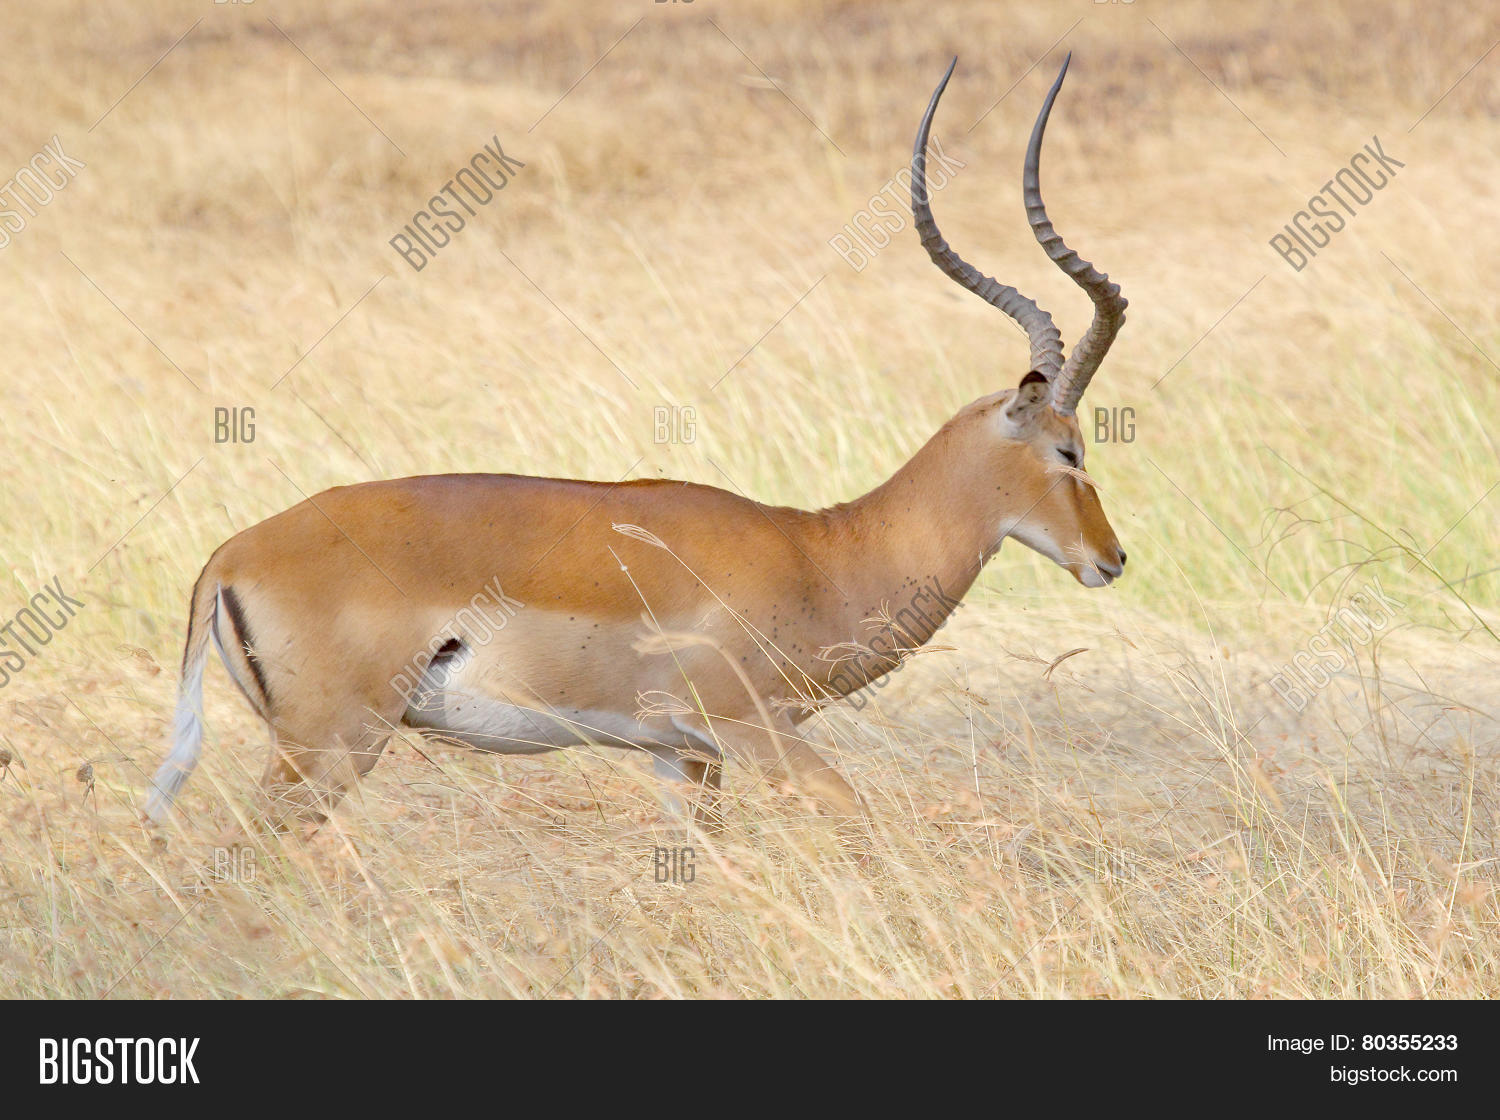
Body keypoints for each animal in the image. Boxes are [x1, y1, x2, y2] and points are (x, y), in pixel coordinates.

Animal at [144, 54, 1127, 832]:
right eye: (1068, 450)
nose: (1112, 558)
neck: (822, 553)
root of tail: (230, 556)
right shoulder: (748, 731)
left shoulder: (682, 755)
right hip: (330, 749)